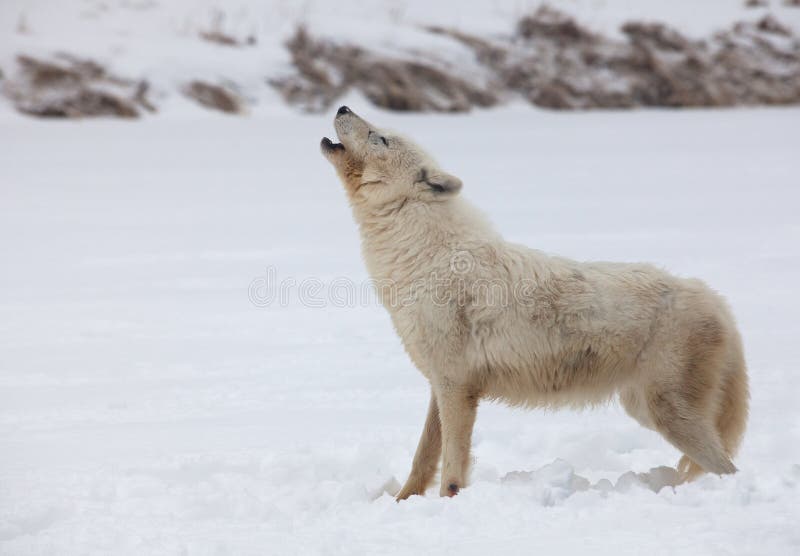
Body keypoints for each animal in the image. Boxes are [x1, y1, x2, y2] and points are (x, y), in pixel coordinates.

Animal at [321, 106, 749, 500]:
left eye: (380, 138)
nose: (342, 107)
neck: (421, 251)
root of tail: (715, 299)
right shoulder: (439, 384)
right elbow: (422, 459)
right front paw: (402, 502)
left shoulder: (455, 385)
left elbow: (452, 468)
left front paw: (448, 504)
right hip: (646, 408)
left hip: (666, 414)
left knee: (730, 468)